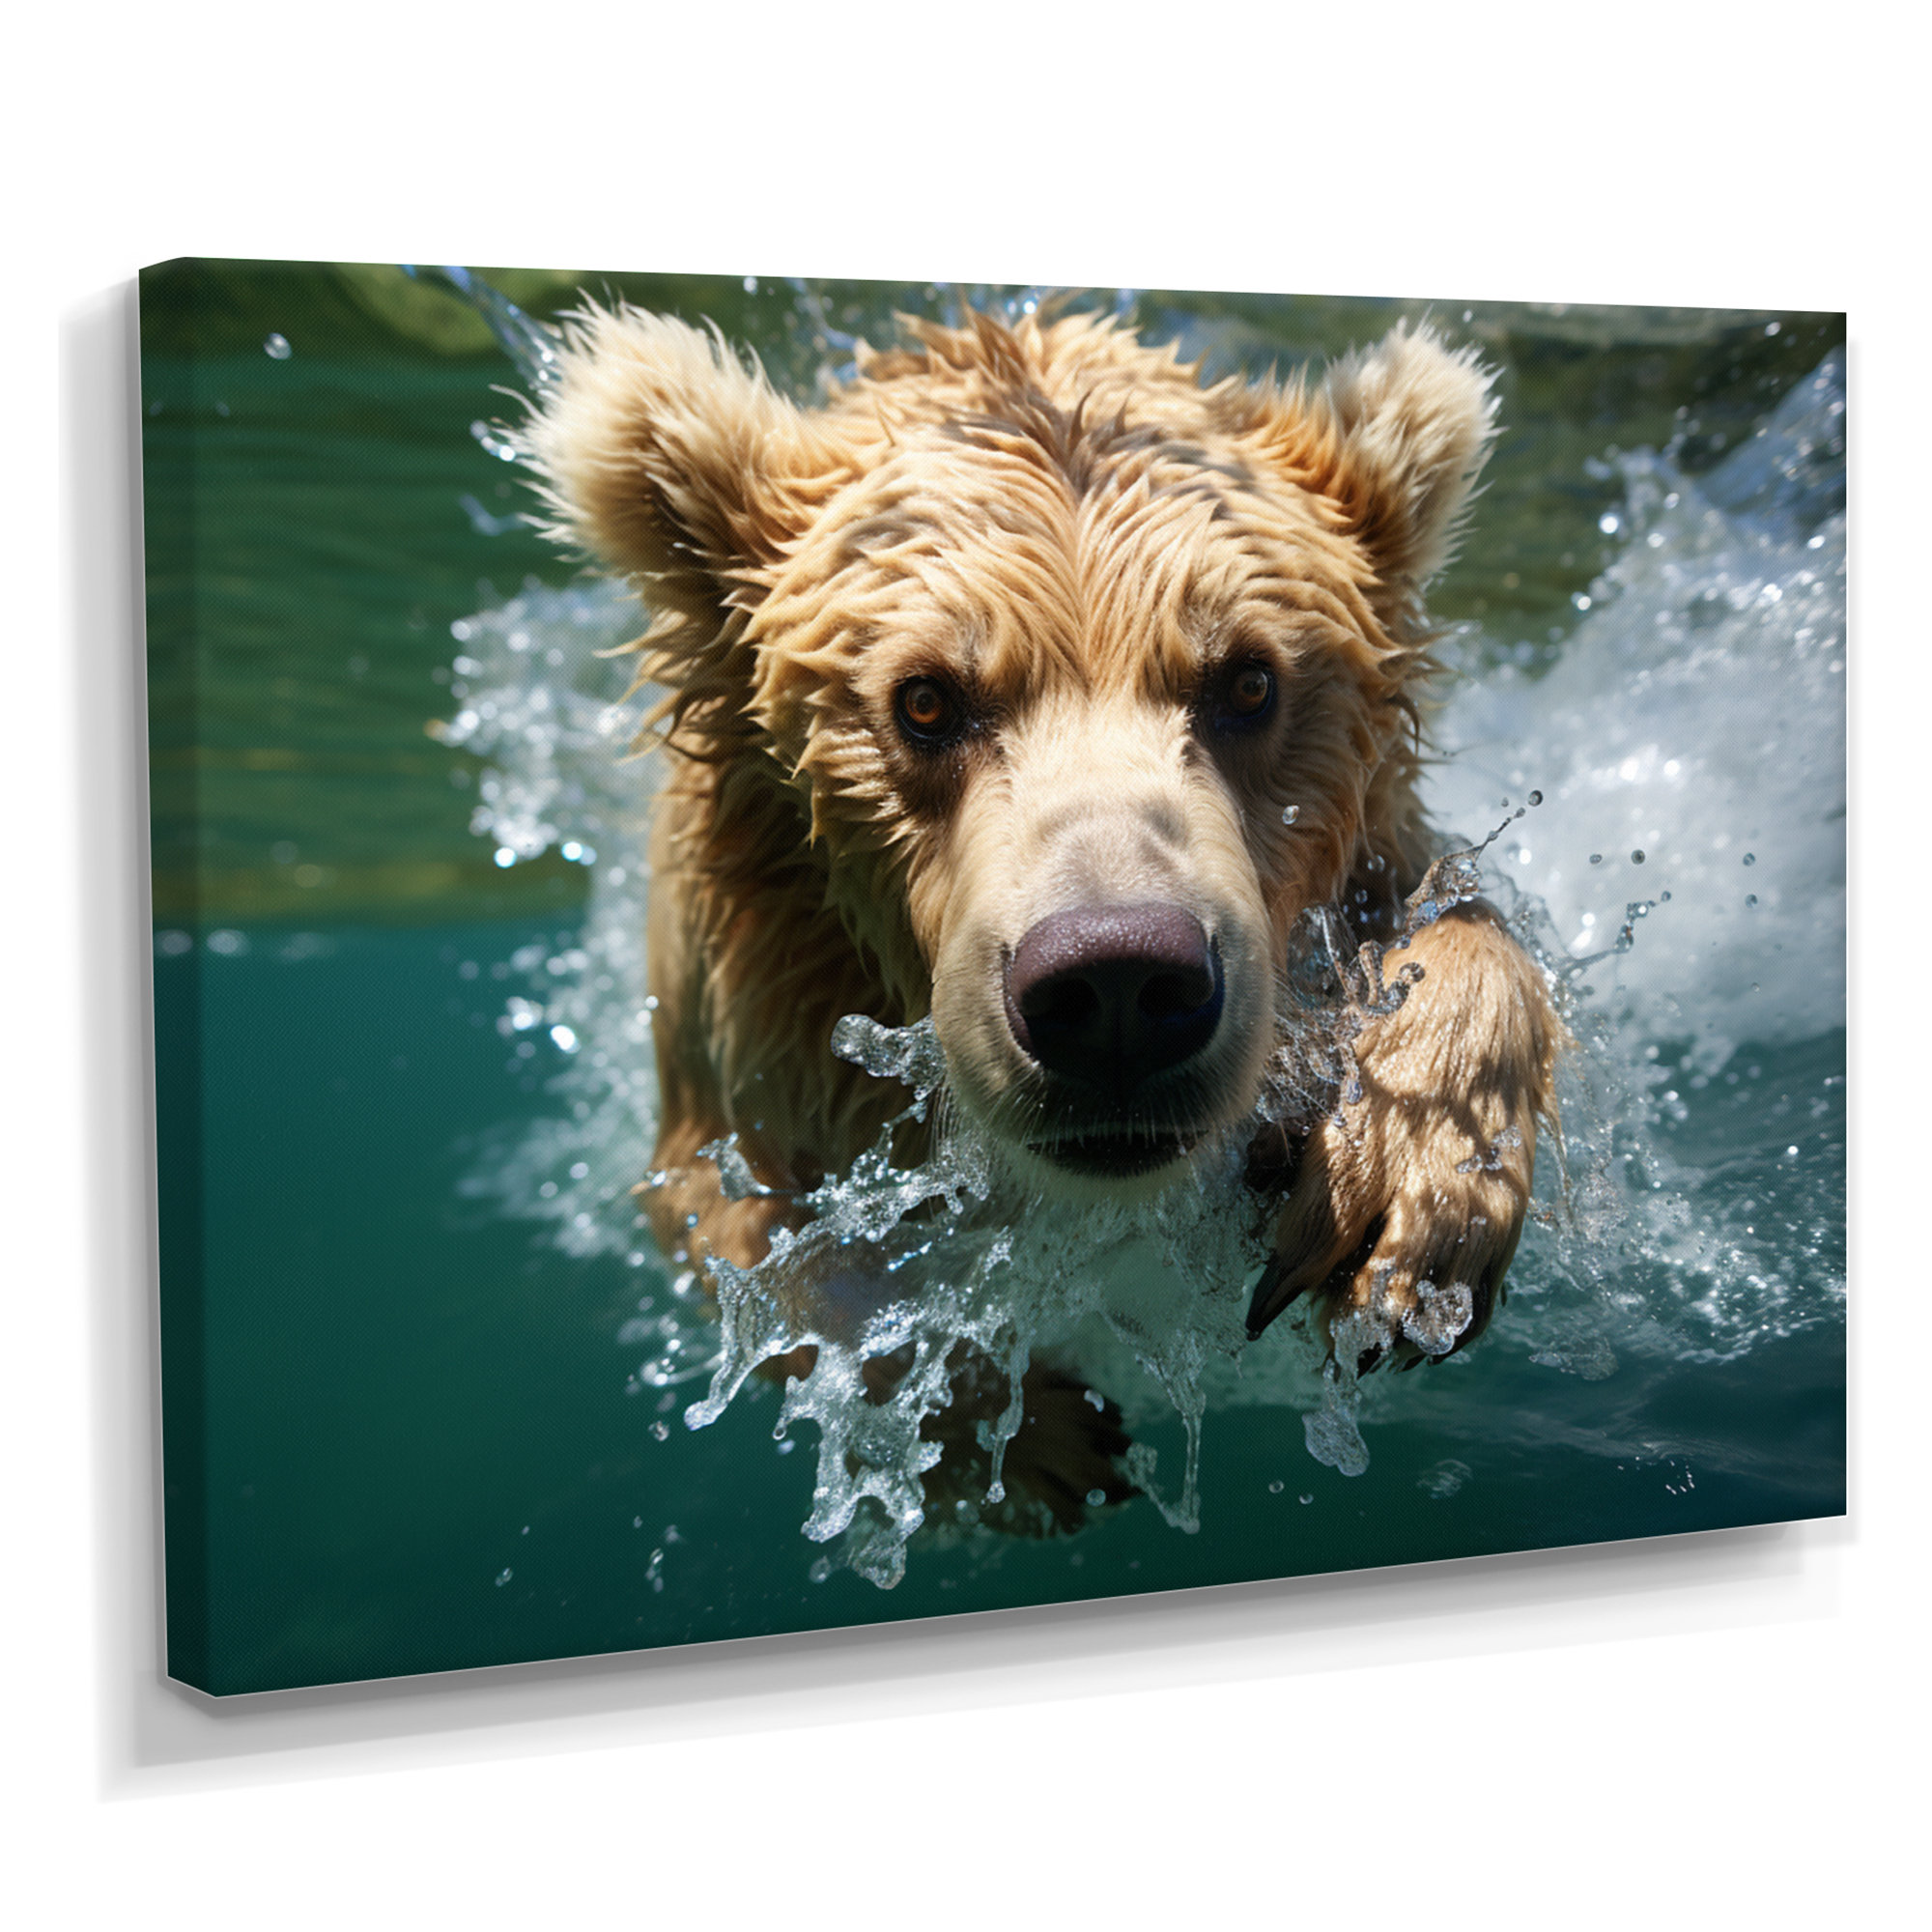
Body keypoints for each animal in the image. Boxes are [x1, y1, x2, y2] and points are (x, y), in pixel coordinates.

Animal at [523, 299, 1561, 1533]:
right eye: (924, 698)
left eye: (1247, 680)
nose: (1116, 984)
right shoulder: (746, 1013)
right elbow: (743, 1226)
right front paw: (1024, 1435)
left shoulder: (1368, 863)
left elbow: (1456, 920)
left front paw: (1412, 1186)